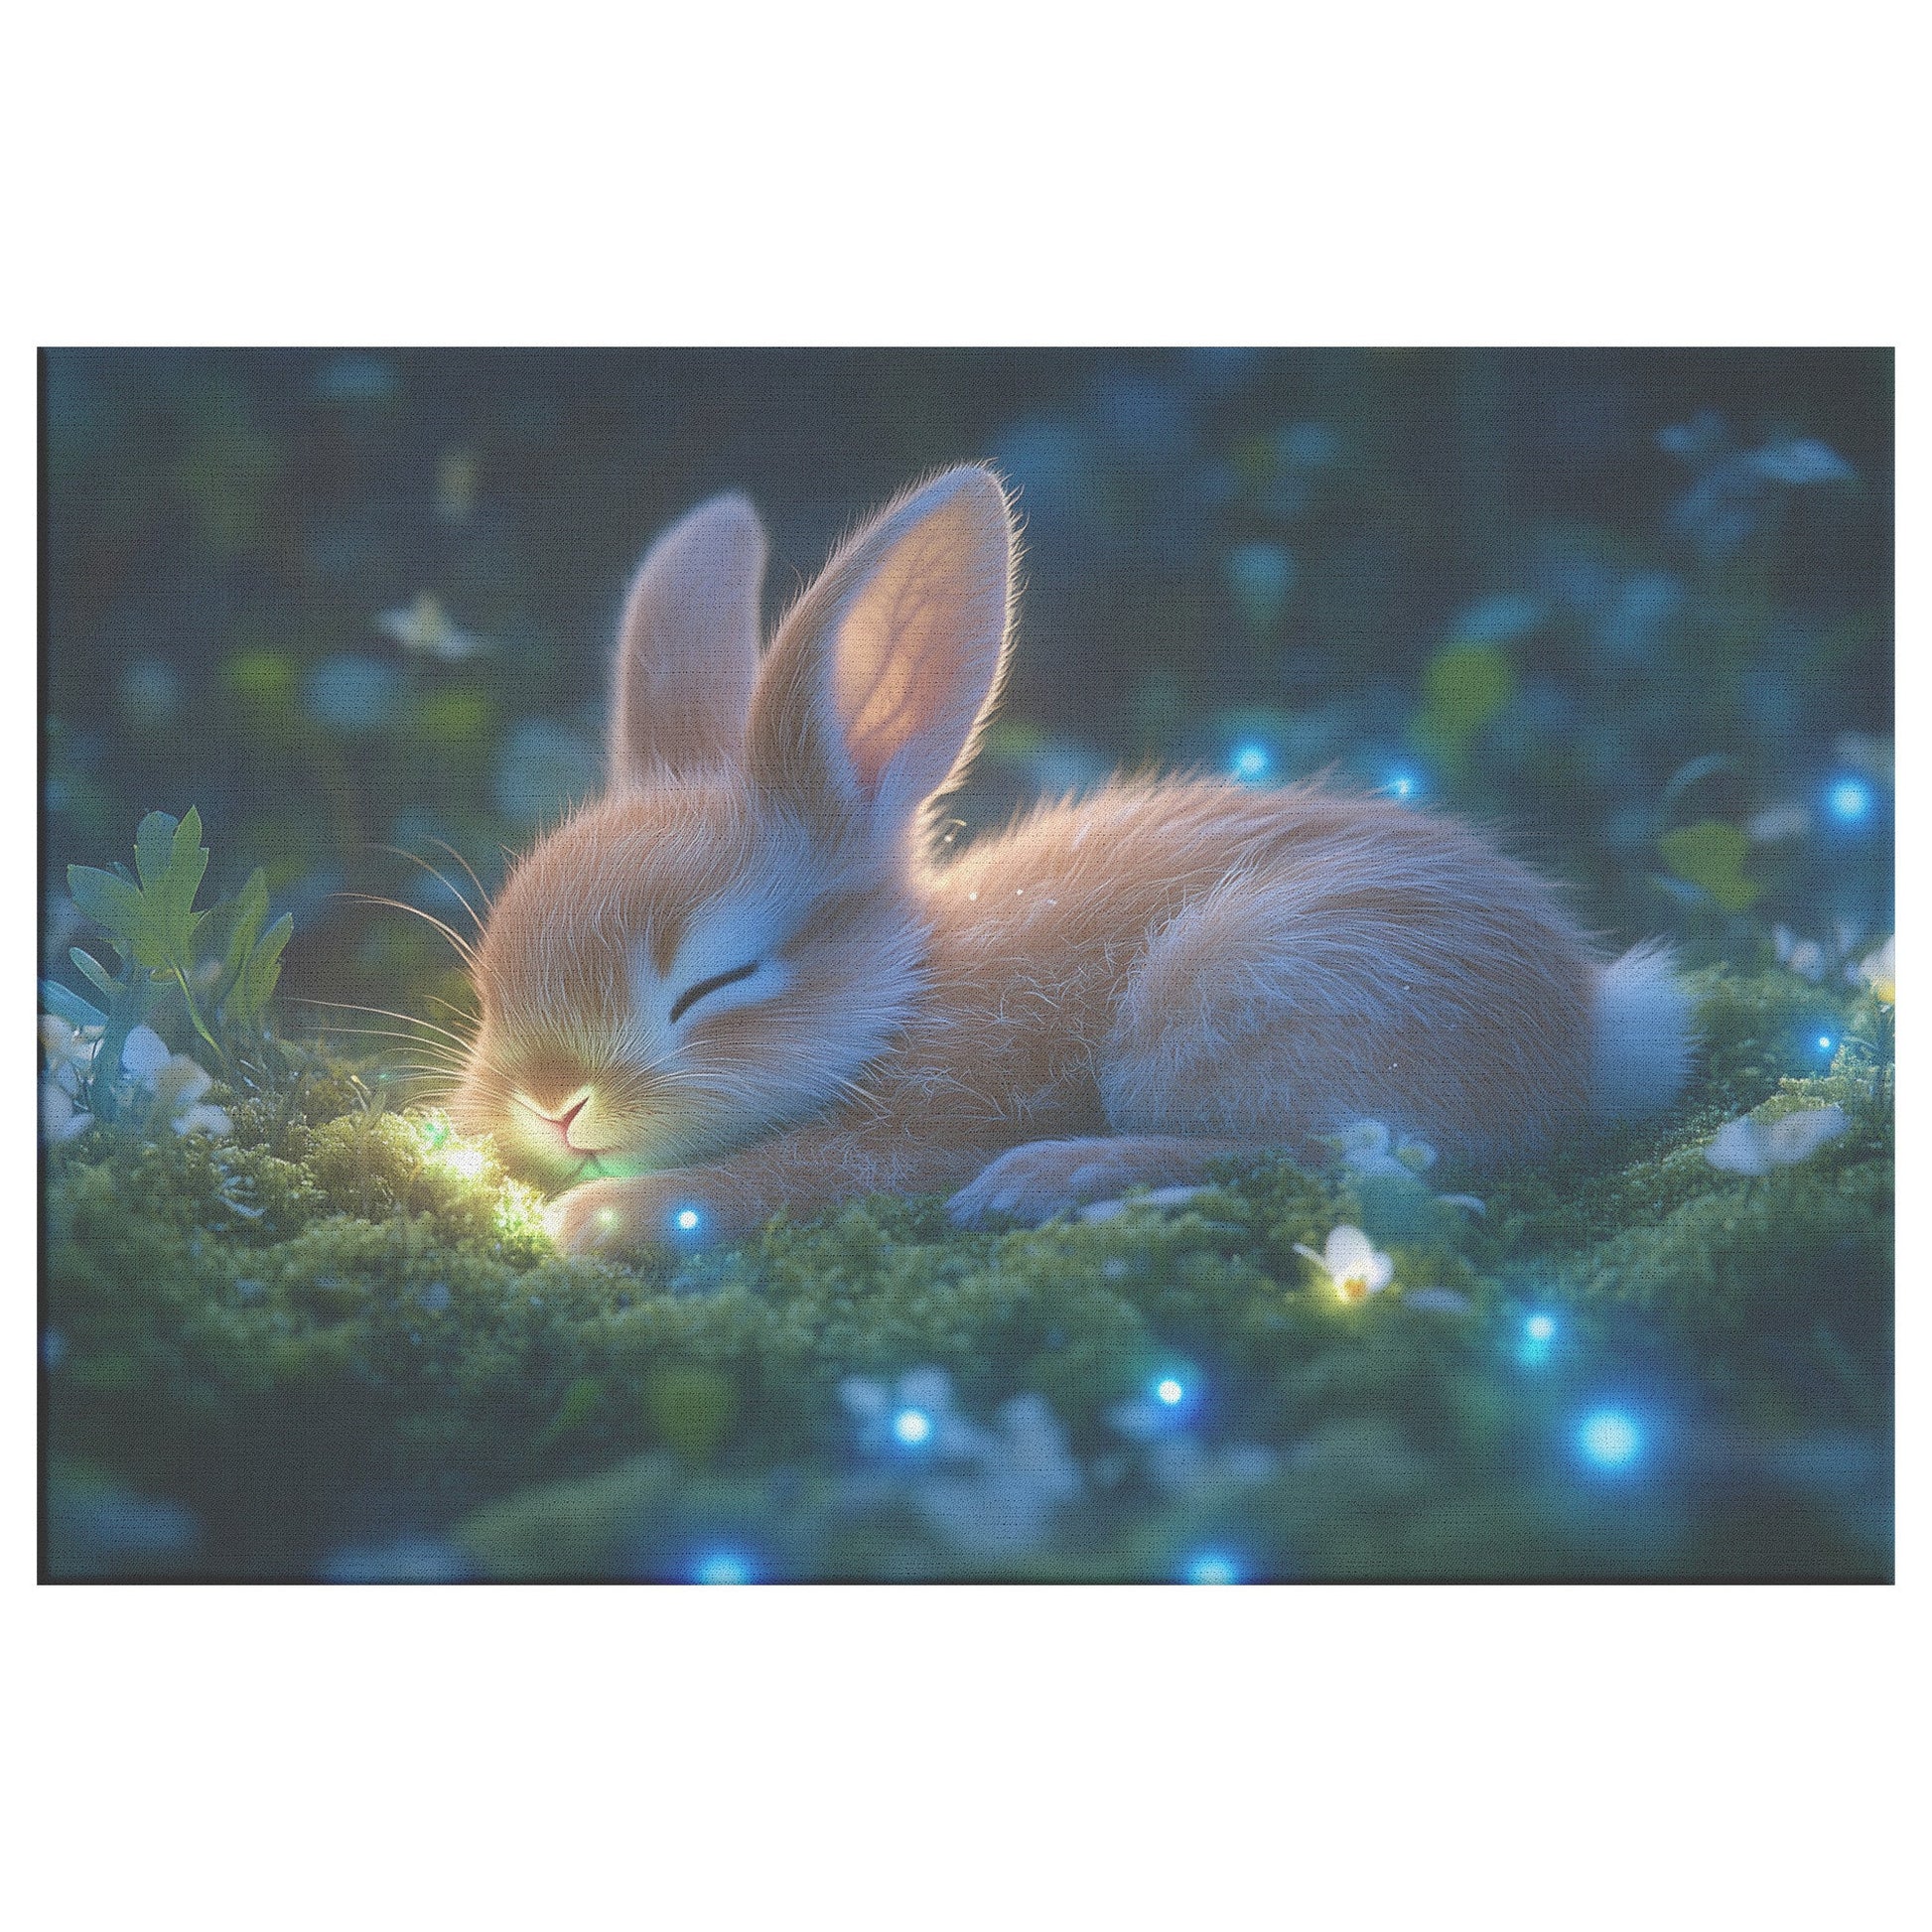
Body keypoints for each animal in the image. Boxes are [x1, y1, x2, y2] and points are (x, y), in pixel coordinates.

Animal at [448, 464, 1692, 1254]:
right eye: (485, 984)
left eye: (717, 981)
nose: (549, 1102)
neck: (904, 996)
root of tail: (1591, 1028)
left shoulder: (925, 1120)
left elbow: (793, 1174)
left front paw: (594, 1220)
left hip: (1232, 999)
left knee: (1359, 1158)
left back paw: (1050, 1178)